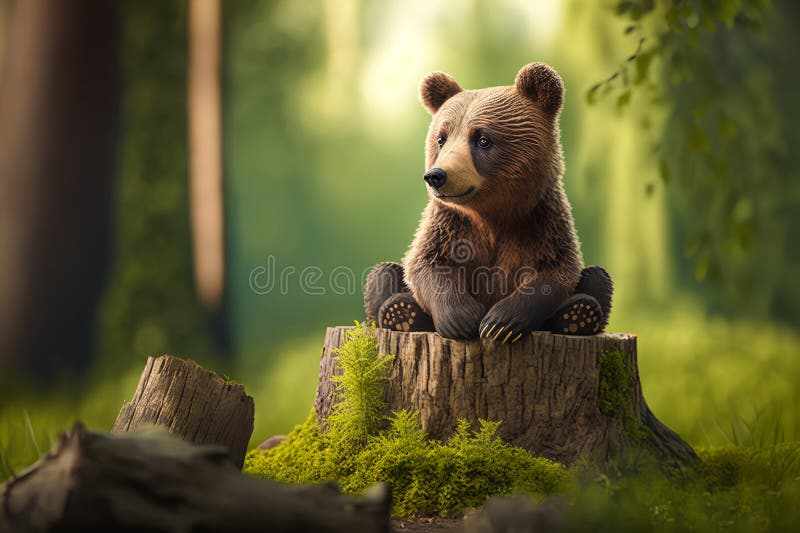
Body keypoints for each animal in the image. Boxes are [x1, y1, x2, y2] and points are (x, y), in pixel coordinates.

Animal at [364, 62, 613, 342]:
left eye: (482, 139)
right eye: (441, 138)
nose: (436, 176)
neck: (491, 214)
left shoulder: (541, 221)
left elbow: (555, 272)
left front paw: (499, 324)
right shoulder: (449, 225)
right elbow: (426, 264)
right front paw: (462, 320)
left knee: (597, 277)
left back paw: (578, 314)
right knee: (382, 274)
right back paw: (401, 312)